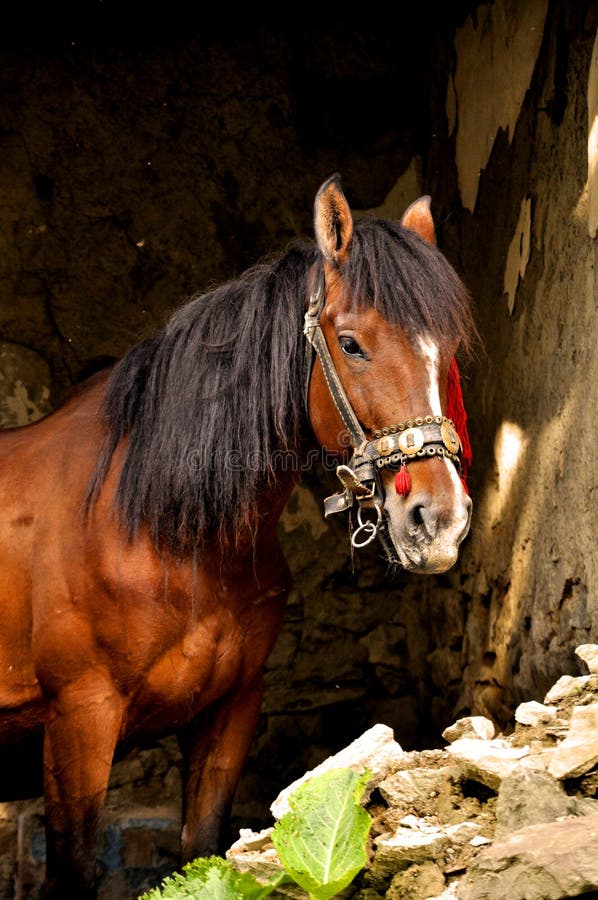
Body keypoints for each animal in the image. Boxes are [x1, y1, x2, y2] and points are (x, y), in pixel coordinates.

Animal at [0, 174, 475, 898]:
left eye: (444, 349)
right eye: (351, 343)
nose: (439, 519)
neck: (163, 526)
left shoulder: (229, 713)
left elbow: (203, 854)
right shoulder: (80, 720)